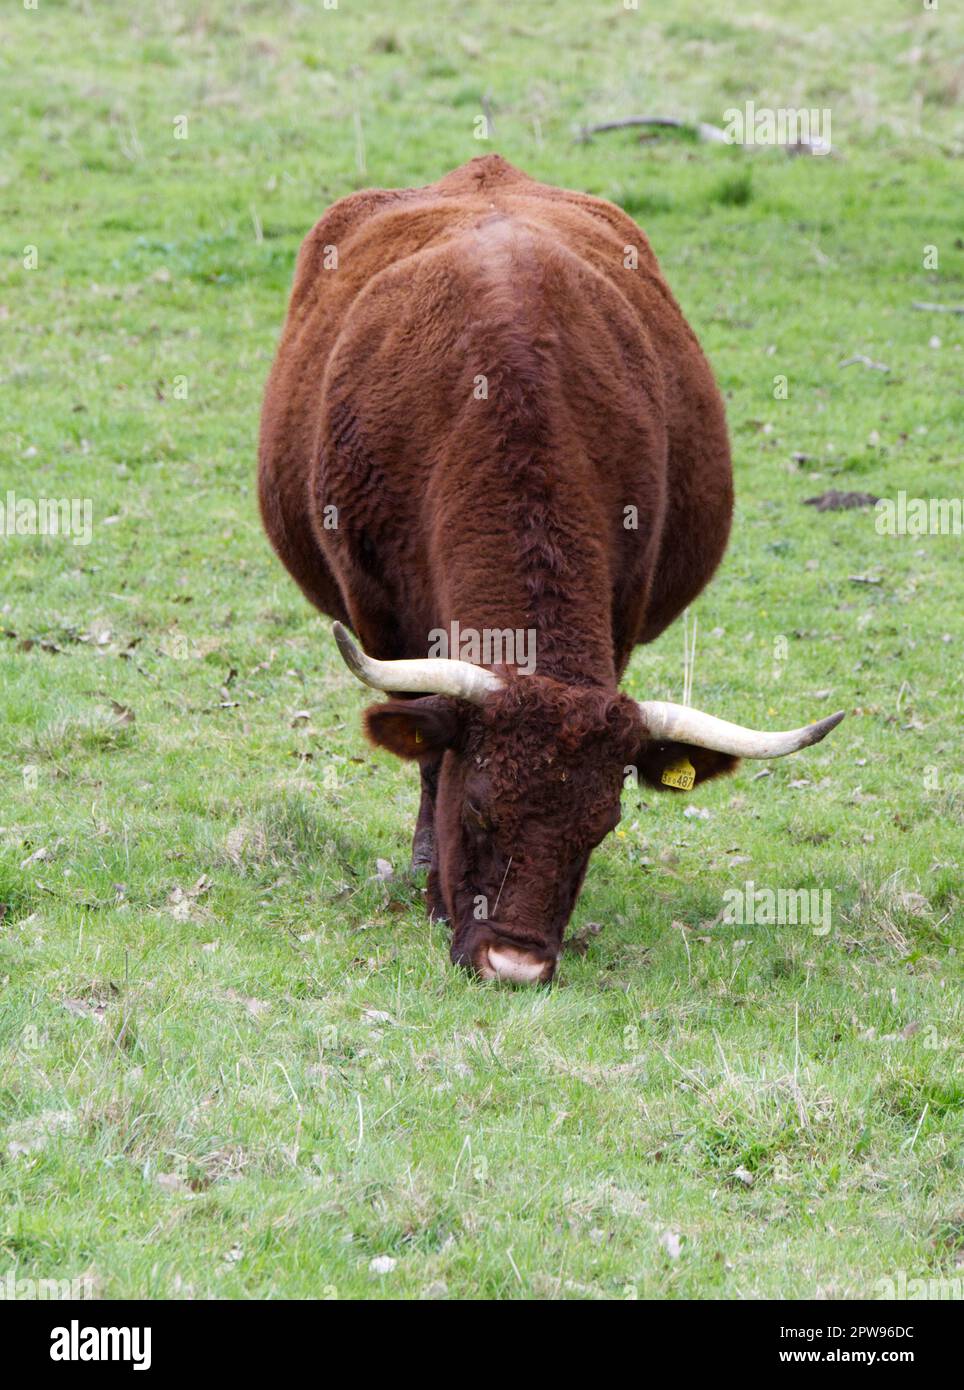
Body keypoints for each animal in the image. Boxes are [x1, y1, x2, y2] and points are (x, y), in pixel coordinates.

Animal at [258, 155, 843, 985]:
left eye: (601, 826)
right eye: (479, 805)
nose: (515, 964)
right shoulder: (379, 614)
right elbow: (428, 754)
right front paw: (430, 882)